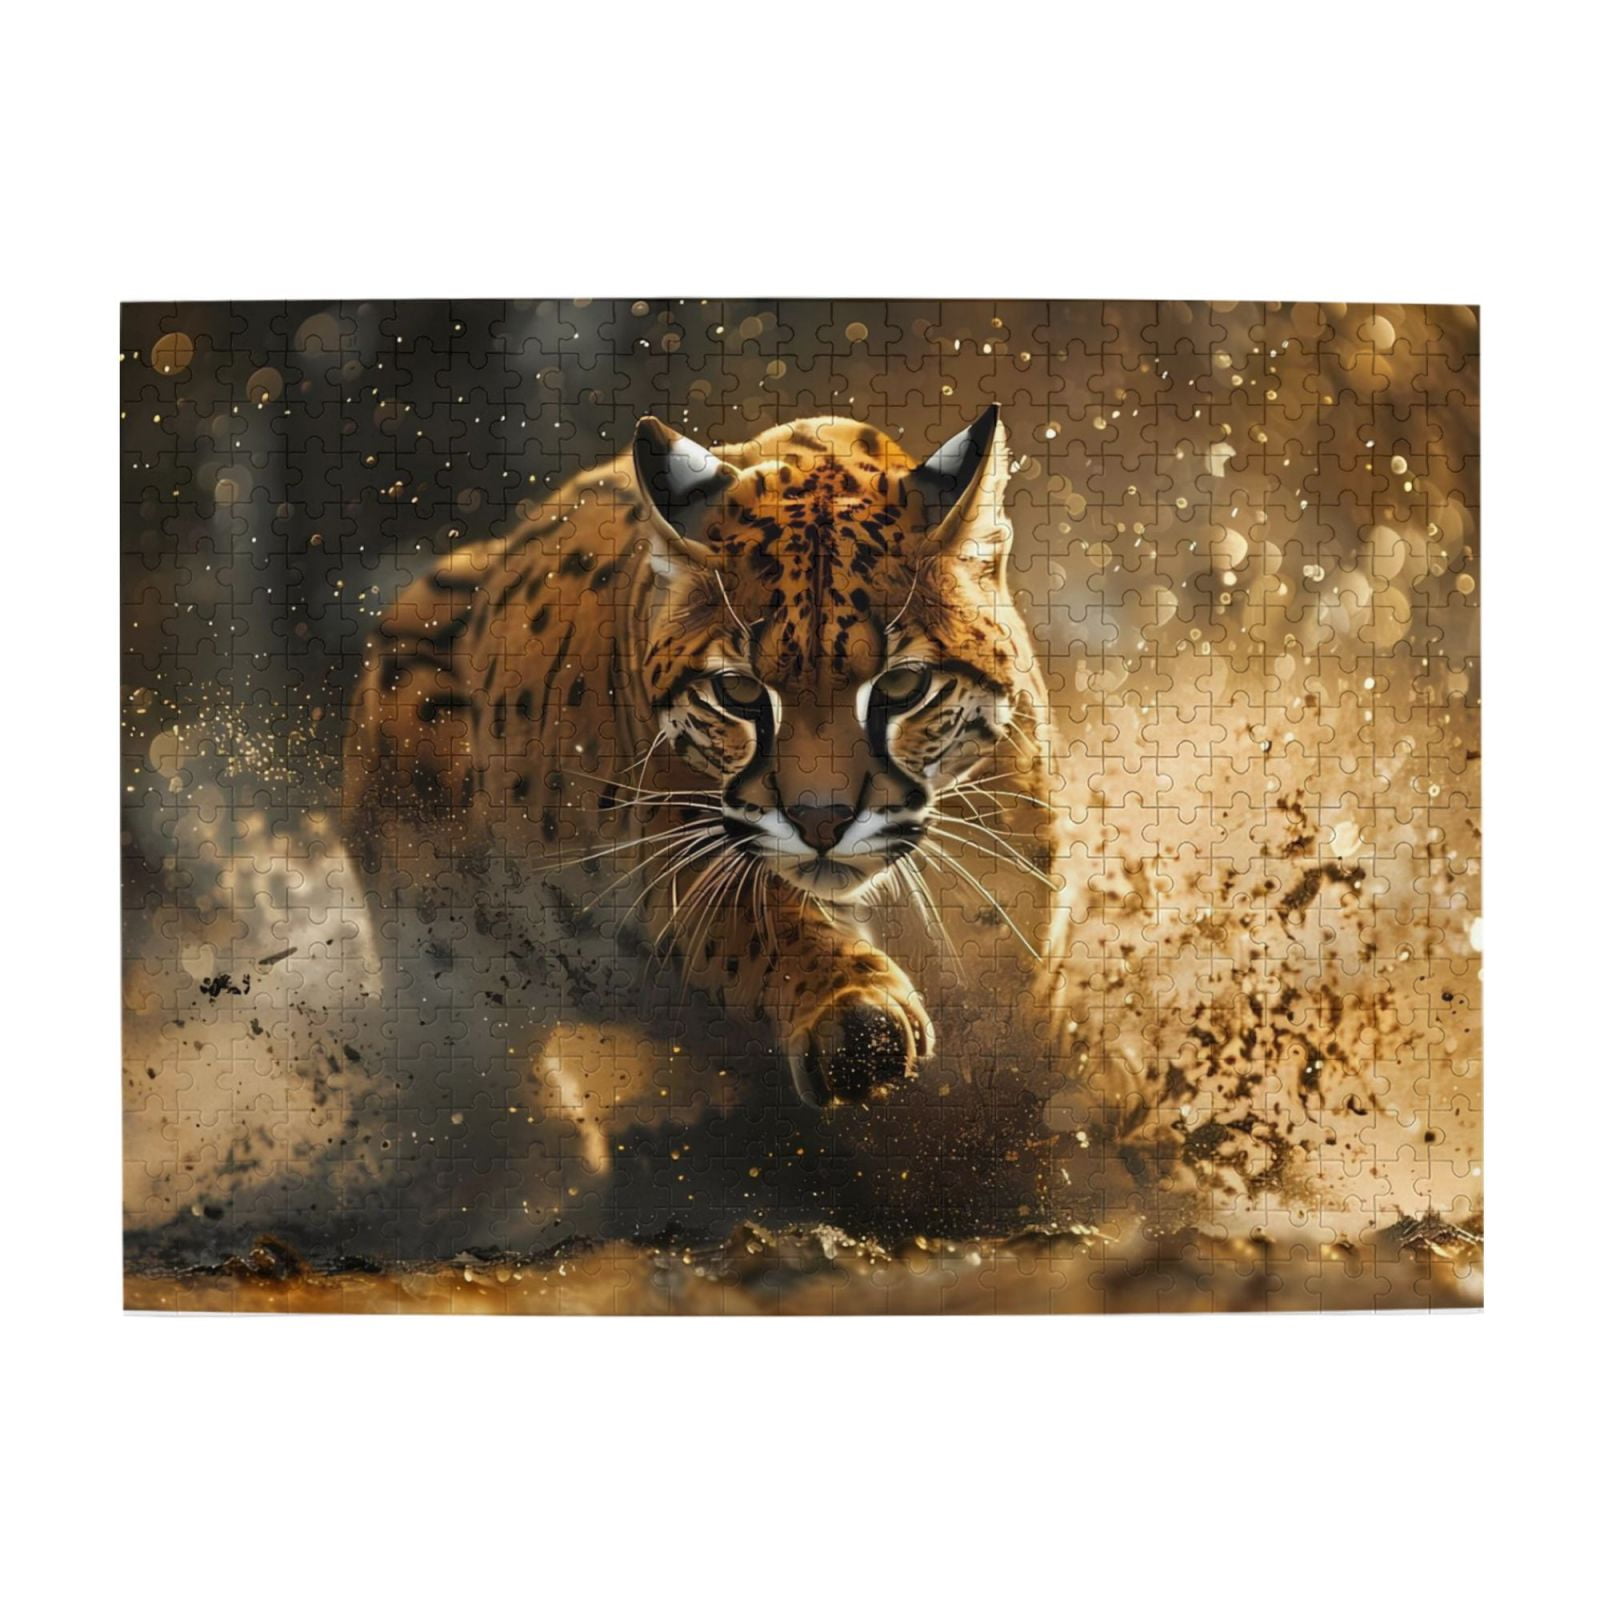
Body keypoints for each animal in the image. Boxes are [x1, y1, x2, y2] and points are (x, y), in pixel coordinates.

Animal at [343, 406, 1075, 1109]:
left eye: (901, 686)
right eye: (739, 693)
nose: (821, 822)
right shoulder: (685, 851)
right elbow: (772, 928)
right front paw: (853, 1013)